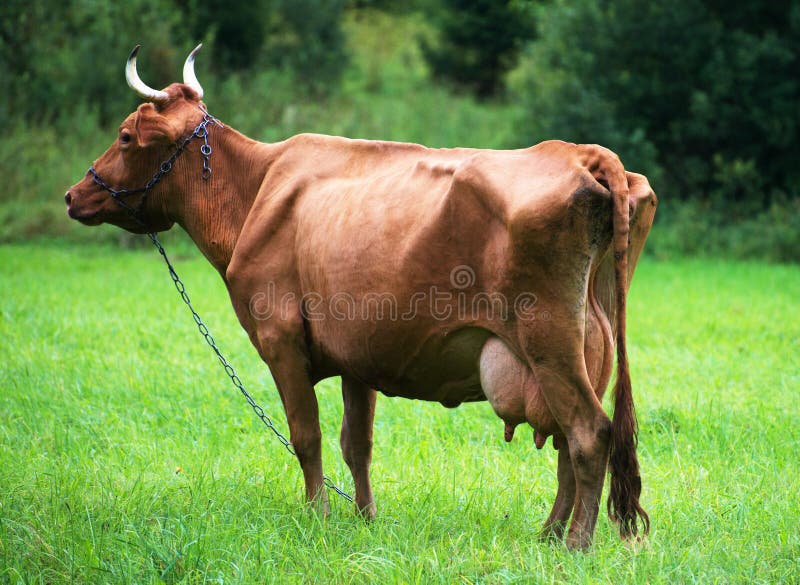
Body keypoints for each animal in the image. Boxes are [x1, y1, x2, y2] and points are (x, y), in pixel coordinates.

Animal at [65, 45, 656, 550]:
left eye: (124, 136)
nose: (73, 194)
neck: (256, 188)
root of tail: (581, 153)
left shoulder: (280, 341)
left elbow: (306, 436)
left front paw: (318, 518)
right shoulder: (357, 355)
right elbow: (358, 444)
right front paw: (366, 519)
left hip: (550, 342)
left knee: (587, 434)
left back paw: (574, 543)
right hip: (585, 349)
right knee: (566, 444)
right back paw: (548, 535)